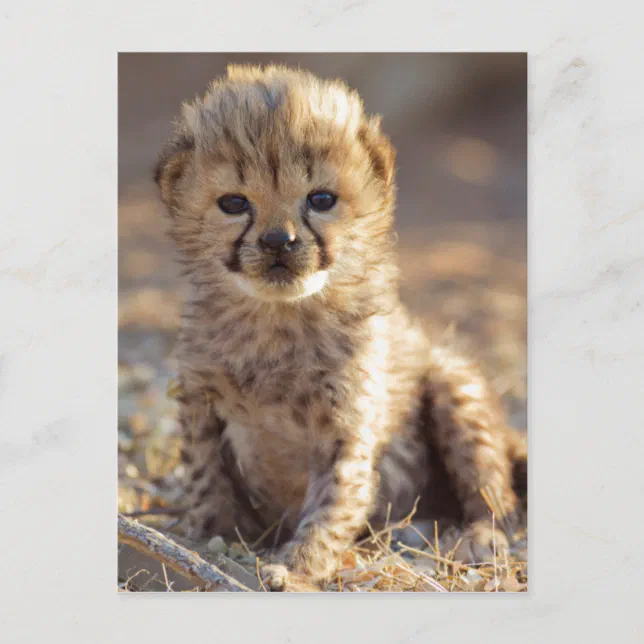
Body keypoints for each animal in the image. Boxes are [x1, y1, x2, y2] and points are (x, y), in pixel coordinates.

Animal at [154, 63, 527, 591]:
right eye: (233, 204)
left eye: (321, 199)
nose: (278, 242)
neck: (279, 320)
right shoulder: (200, 403)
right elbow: (208, 484)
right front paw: (211, 542)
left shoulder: (346, 426)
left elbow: (333, 503)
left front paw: (295, 567)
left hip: (454, 385)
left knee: (495, 489)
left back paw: (475, 536)